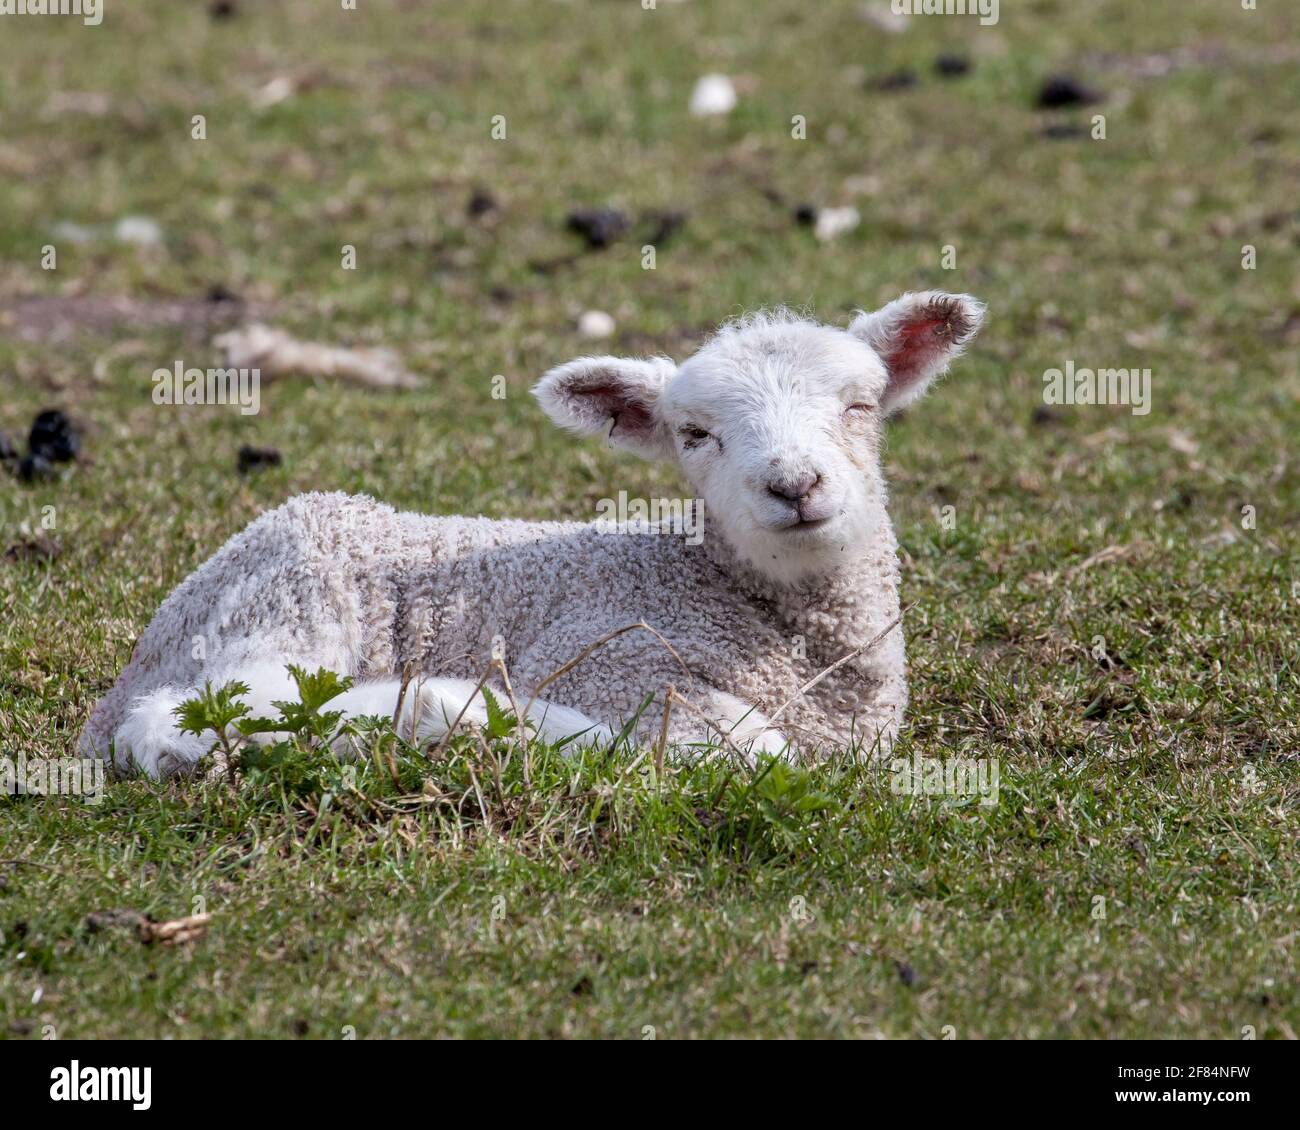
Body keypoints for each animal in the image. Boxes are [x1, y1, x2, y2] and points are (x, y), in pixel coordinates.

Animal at [79, 291, 985, 776]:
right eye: (695, 435)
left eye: (861, 406)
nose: (793, 486)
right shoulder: (609, 652)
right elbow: (756, 745)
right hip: (283, 619)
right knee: (205, 721)